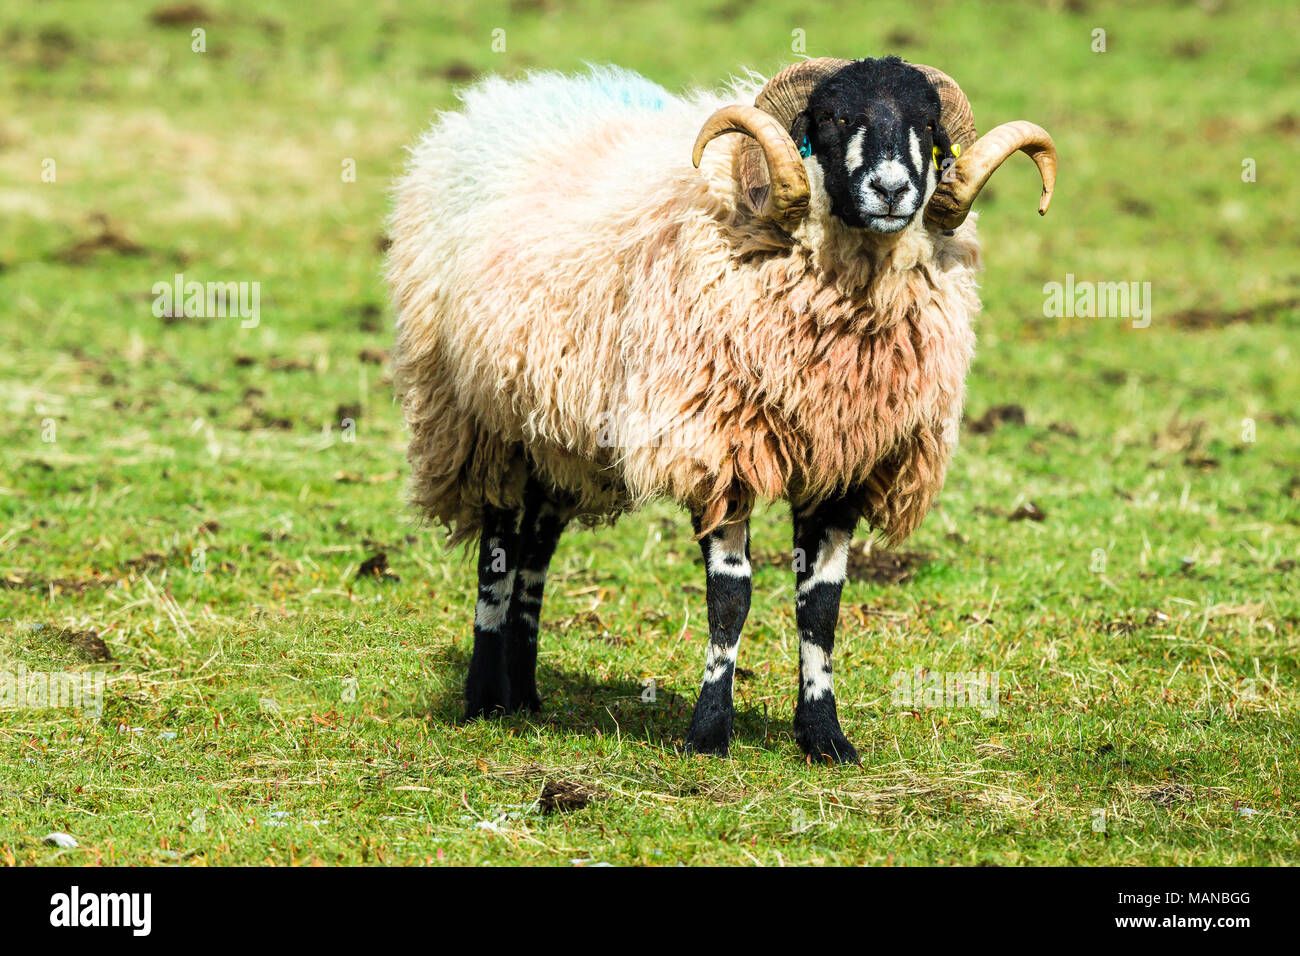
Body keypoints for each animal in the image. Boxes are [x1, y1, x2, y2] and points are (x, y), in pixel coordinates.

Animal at [386, 57, 1057, 762]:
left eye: (927, 125)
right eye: (832, 117)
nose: (893, 190)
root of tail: (506, 97)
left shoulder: (843, 459)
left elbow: (822, 606)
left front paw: (825, 737)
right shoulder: (717, 445)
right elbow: (731, 597)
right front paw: (709, 731)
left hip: (555, 430)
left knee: (536, 547)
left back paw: (525, 694)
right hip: (483, 418)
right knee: (498, 544)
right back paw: (486, 696)